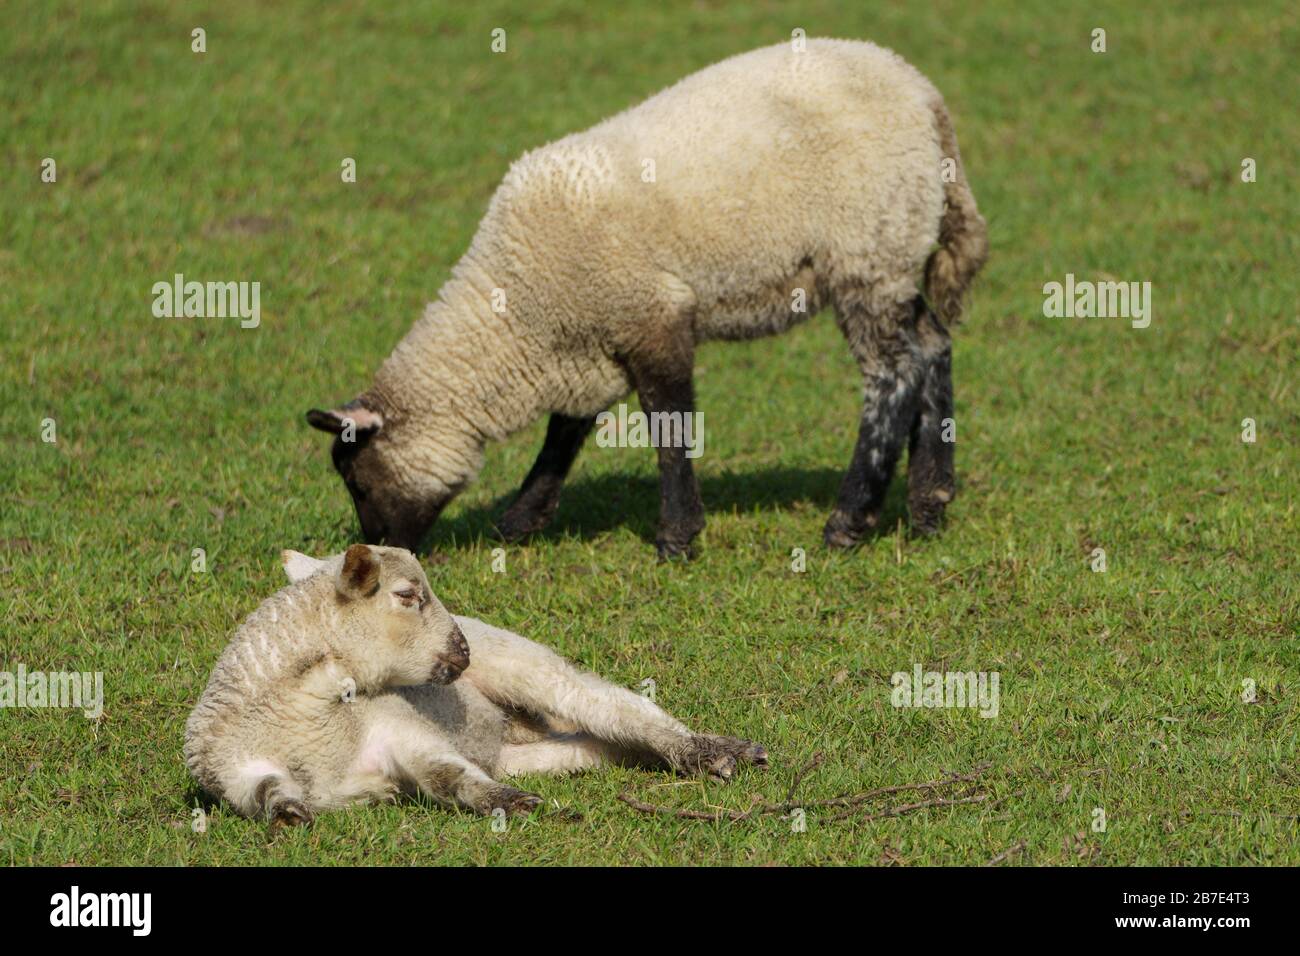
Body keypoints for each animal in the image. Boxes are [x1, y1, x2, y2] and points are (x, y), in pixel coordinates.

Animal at [184, 545, 767, 824]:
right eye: (407, 595)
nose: (462, 650)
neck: (309, 716)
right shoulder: (229, 769)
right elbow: (264, 791)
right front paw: (287, 814)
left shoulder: (397, 727)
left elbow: (446, 776)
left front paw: (512, 806)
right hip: (519, 747)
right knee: (588, 744)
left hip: (523, 663)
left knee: (614, 707)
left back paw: (717, 752)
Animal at [306, 38, 987, 558]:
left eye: (358, 481)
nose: (378, 552)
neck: (516, 316)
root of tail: (923, 94)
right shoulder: (590, 335)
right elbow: (565, 434)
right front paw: (522, 519)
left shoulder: (651, 314)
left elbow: (669, 425)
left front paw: (677, 537)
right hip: (897, 252)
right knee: (933, 347)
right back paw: (929, 505)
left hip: (865, 251)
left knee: (892, 375)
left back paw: (850, 521)